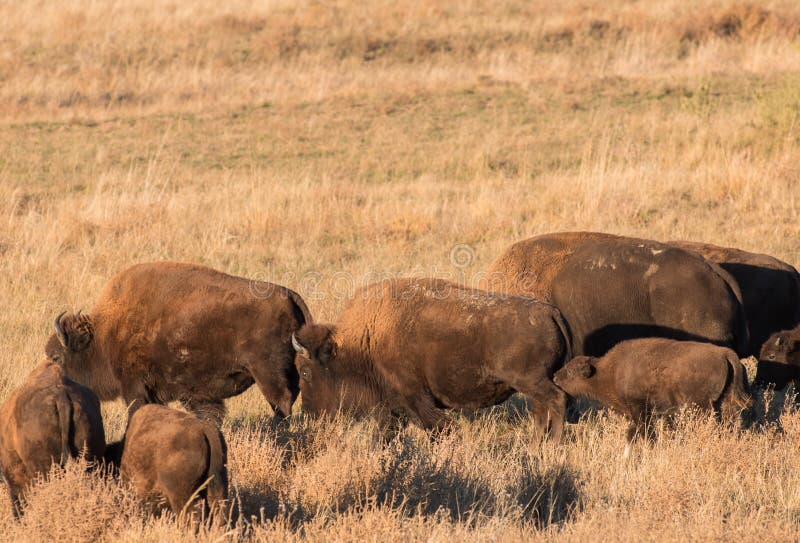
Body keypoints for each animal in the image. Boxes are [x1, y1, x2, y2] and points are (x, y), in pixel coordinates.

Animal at [45, 262, 312, 425]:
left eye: (57, 357)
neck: (105, 332)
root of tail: (289, 295)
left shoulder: (135, 388)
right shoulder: (196, 394)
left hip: (267, 372)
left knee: (282, 402)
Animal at [291, 278, 572, 440]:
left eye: (305, 372)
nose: (309, 414)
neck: (367, 337)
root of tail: (549, 312)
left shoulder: (414, 398)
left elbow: (438, 427)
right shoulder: (392, 407)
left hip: (532, 382)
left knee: (556, 401)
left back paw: (551, 445)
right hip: (532, 386)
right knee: (542, 411)